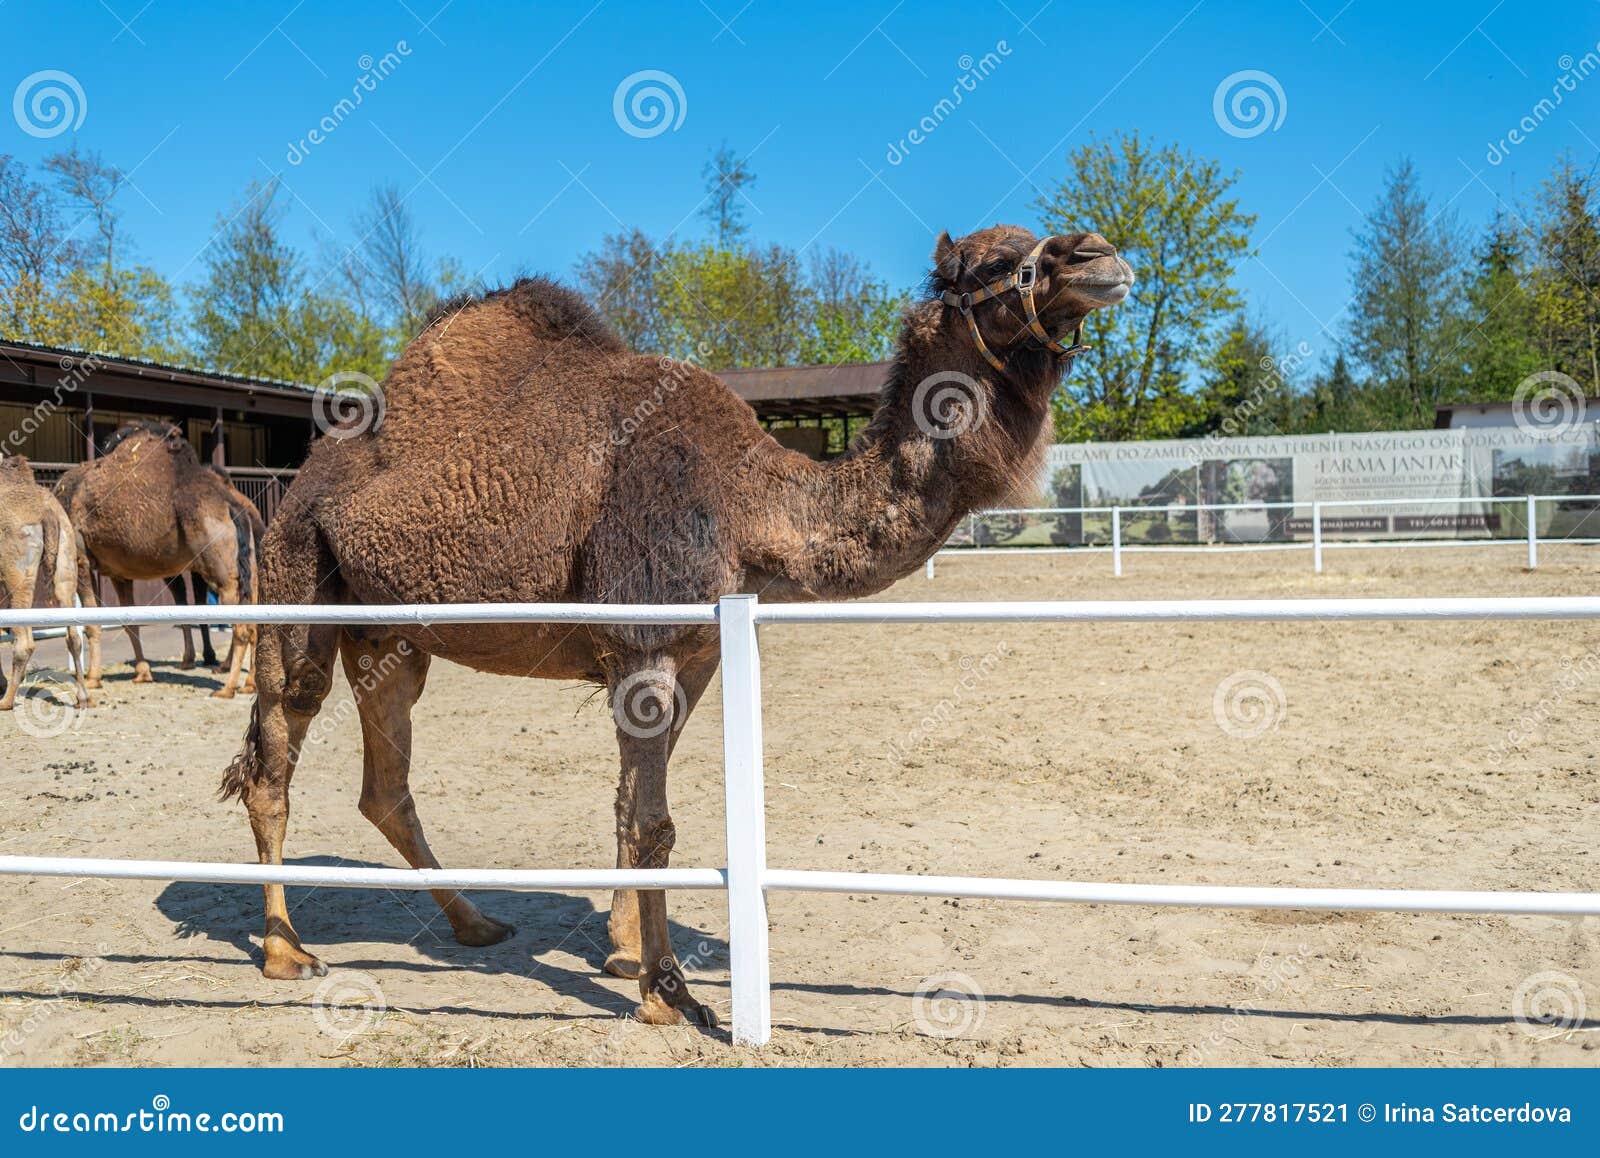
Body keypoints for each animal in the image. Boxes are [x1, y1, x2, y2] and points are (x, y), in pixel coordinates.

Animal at [0, 456, 89, 713]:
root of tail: (45, 510)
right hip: (66, 551)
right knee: (73, 635)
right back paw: (82, 698)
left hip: (16, 569)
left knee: (25, 641)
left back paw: (6, 701)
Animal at [55, 423, 259, 699]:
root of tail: (232, 505)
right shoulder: (119, 573)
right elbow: (130, 623)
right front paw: (142, 674)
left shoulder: (81, 558)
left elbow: (92, 623)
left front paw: (92, 679)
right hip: (249, 567)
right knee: (256, 622)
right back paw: (249, 684)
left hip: (222, 571)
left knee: (242, 628)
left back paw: (227, 688)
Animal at [220, 224, 1133, 1028]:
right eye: (992, 264)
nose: (1099, 256)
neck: (748, 504)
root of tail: (297, 485)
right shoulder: (643, 641)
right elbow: (653, 820)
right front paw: (667, 994)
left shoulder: (698, 653)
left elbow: (635, 809)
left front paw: (624, 949)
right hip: (299, 591)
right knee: (275, 754)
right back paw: (286, 952)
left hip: (391, 638)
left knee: (384, 783)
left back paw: (475, 924)